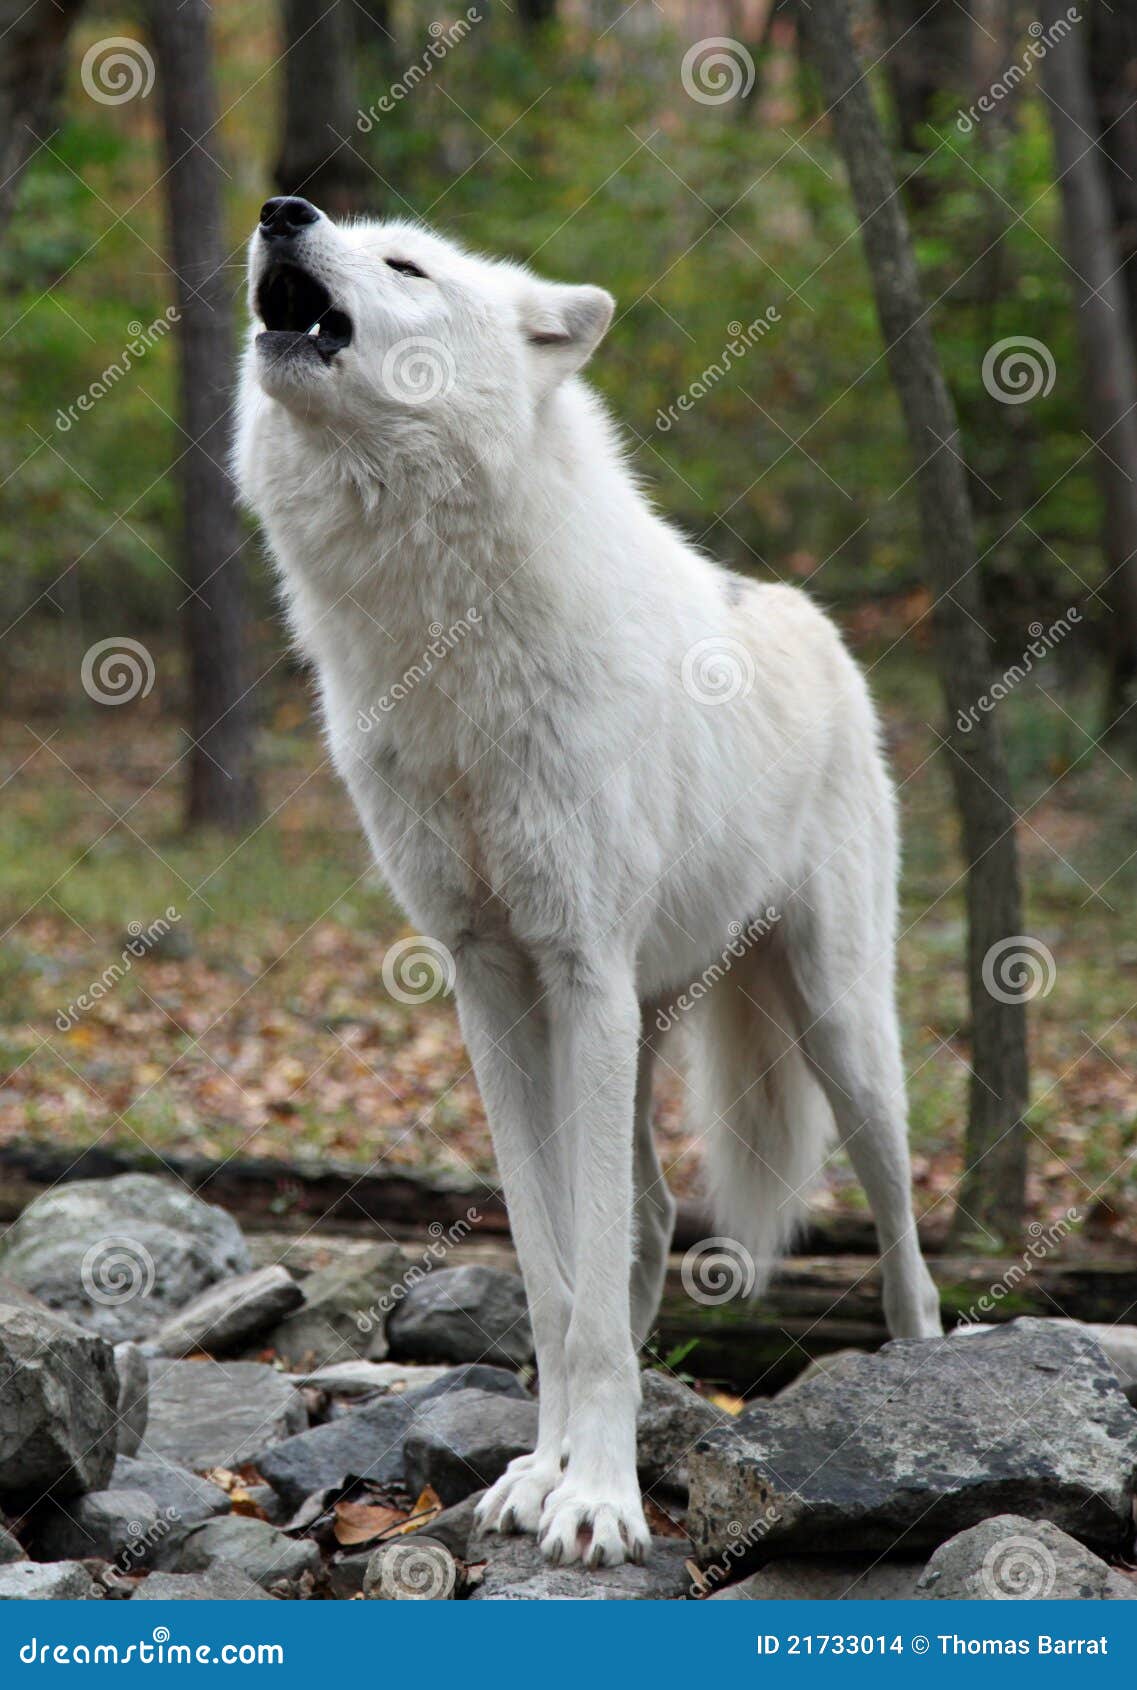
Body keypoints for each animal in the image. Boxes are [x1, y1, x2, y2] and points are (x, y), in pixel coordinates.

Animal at [235, 196, 943, 1569]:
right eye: (337, 224)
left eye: (405, 263)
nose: (282, 211)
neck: (437, 640)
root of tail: (812, 616)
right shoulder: (493, 983)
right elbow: (560, 1283)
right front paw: (541, 1475)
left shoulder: (578, 970)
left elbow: (594, 1298)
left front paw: (602, 1502)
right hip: (640, 1017)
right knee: (656, 1217)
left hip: (833, 1027)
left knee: (902, 1239)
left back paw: (928, 1373)